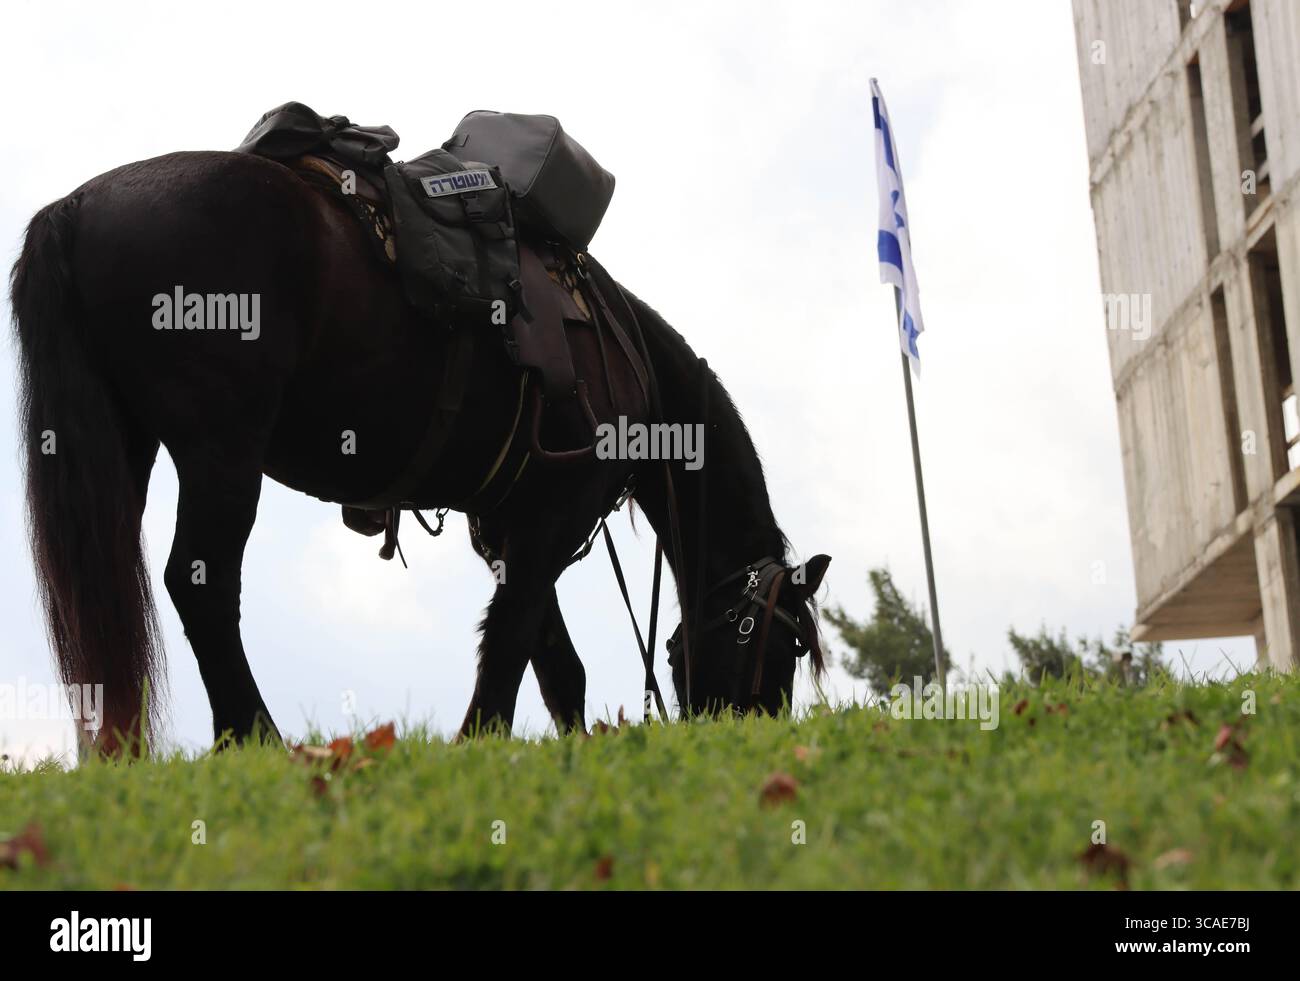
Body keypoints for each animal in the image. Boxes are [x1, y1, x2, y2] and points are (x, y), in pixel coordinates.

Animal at [9, 148, 832, 754]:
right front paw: (481, 742)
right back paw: (258, 738)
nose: (761, 731)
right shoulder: (554, 519)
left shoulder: (511, 526)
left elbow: (551, 658)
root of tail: (76, 208)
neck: (624, 361)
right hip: (222, 452)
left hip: (131, 448)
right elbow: (514, 641)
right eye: (785, 646)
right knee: (200, 584)